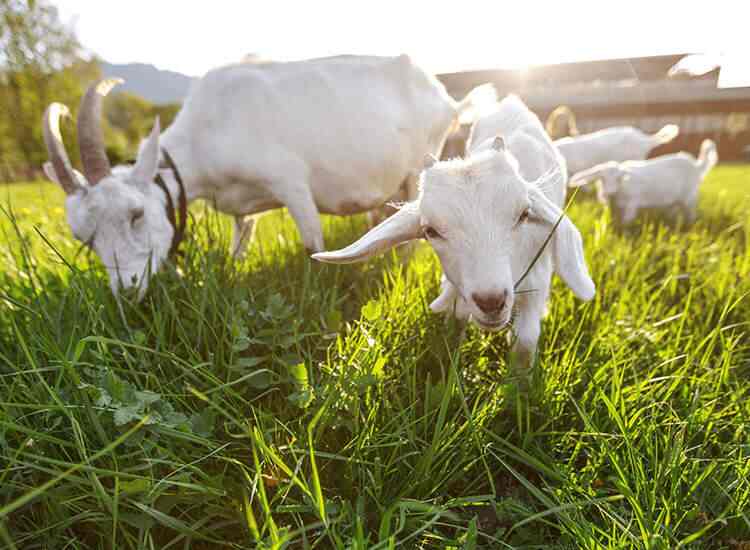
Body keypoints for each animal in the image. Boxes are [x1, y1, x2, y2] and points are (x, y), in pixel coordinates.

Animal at [42, 55, 496, 298]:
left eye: (135, 214)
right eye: (84, 238)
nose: (128, 290)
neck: (207, 129)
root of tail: (447, 99)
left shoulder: (291, 183)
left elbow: (311, 242)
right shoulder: (241, 209)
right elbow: (239, 244)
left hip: (421, 162)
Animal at [313, 95, 596, 366]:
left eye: (524, 214)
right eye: (430, 231)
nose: (491, 301)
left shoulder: (537, 278)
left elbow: (525, 342)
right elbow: (457, 319)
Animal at [568, 140, 718, 225]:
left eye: (618, 178)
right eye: (601, 178)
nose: (608, 192)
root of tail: (695, 165)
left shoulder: (632, 203)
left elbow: (626, 222)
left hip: (689, 198)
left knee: (691, 214)